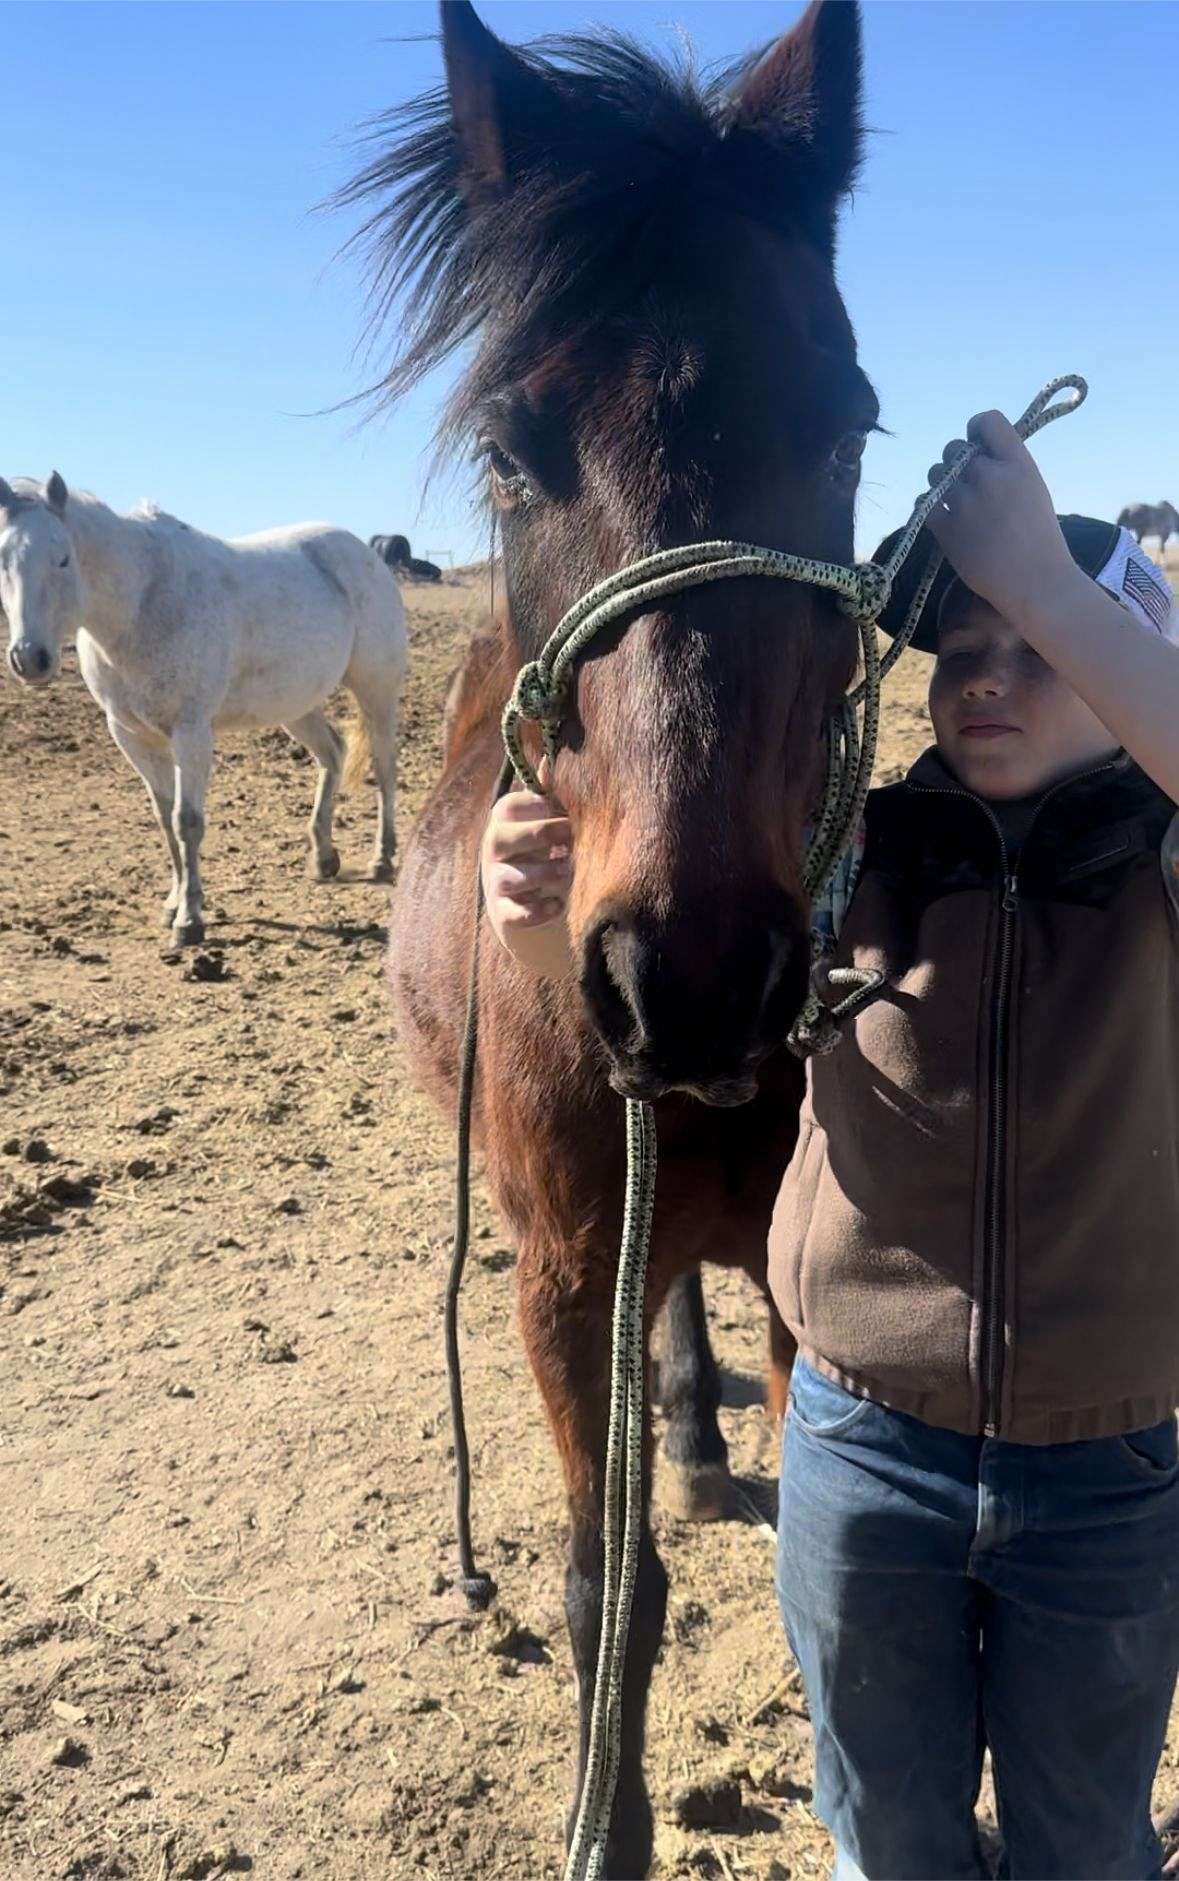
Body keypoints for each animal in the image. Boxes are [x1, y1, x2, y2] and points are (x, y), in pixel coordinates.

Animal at [1, 474, 407, 944]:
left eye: (63, 559)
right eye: (3, 560)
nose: (30, 658)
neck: (142, 603)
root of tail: (366, 554)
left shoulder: (190, 732)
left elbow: (187, 821)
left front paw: (190, 920)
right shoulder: (131, 735)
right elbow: (165, 820)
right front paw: (173, 903)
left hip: (376, 690)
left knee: (385, 766)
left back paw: (382, 859)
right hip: (296, 707)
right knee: (333, 755)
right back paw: (323, 857)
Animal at [345, 1, 874, 1870]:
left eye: (847, 425)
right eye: (513, 450)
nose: (693, 976)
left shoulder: (807, 1278)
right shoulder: (561, 1276)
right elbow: (602, 1586)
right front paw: (609, 1821)